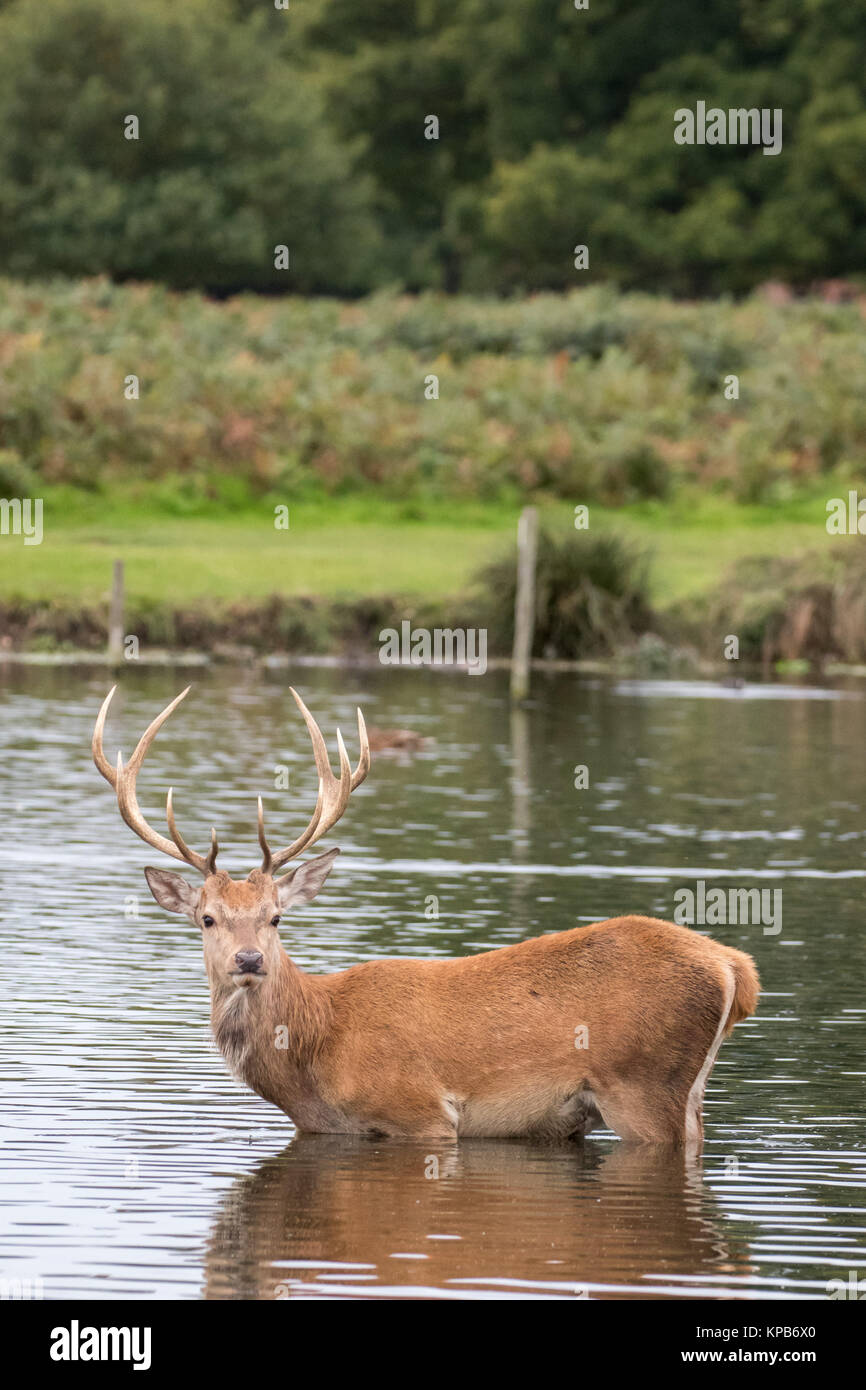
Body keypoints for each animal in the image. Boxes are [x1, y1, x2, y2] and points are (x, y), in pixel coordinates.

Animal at [93, 687, 759, 1154]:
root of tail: (735, 968)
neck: (316, 1054)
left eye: (276, 917)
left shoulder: (422, 1112)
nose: (249, 958)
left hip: (644, 1085)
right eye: (207, 918)